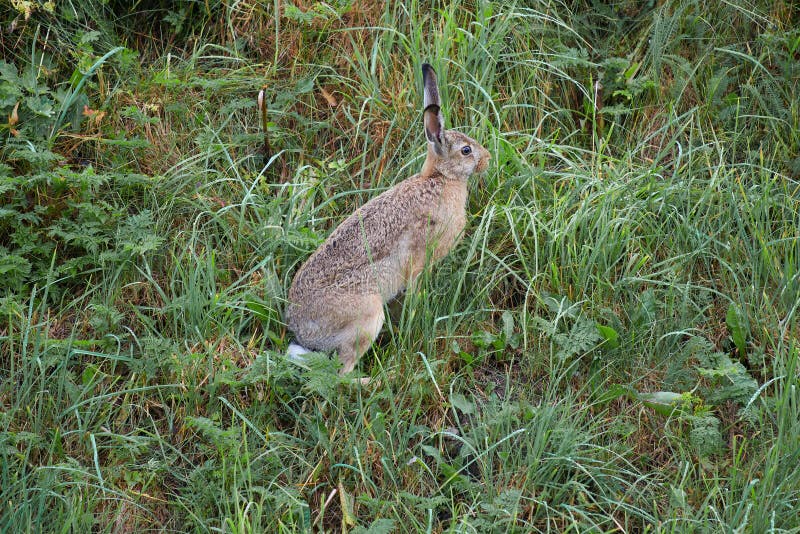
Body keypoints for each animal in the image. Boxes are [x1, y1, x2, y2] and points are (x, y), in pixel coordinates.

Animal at [284, 63, 491, 374]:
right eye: (466, 151)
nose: (487, 159)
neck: (440, 179)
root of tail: (303, 332)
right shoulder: (418, 259)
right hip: (368, 316)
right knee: (342, 373)